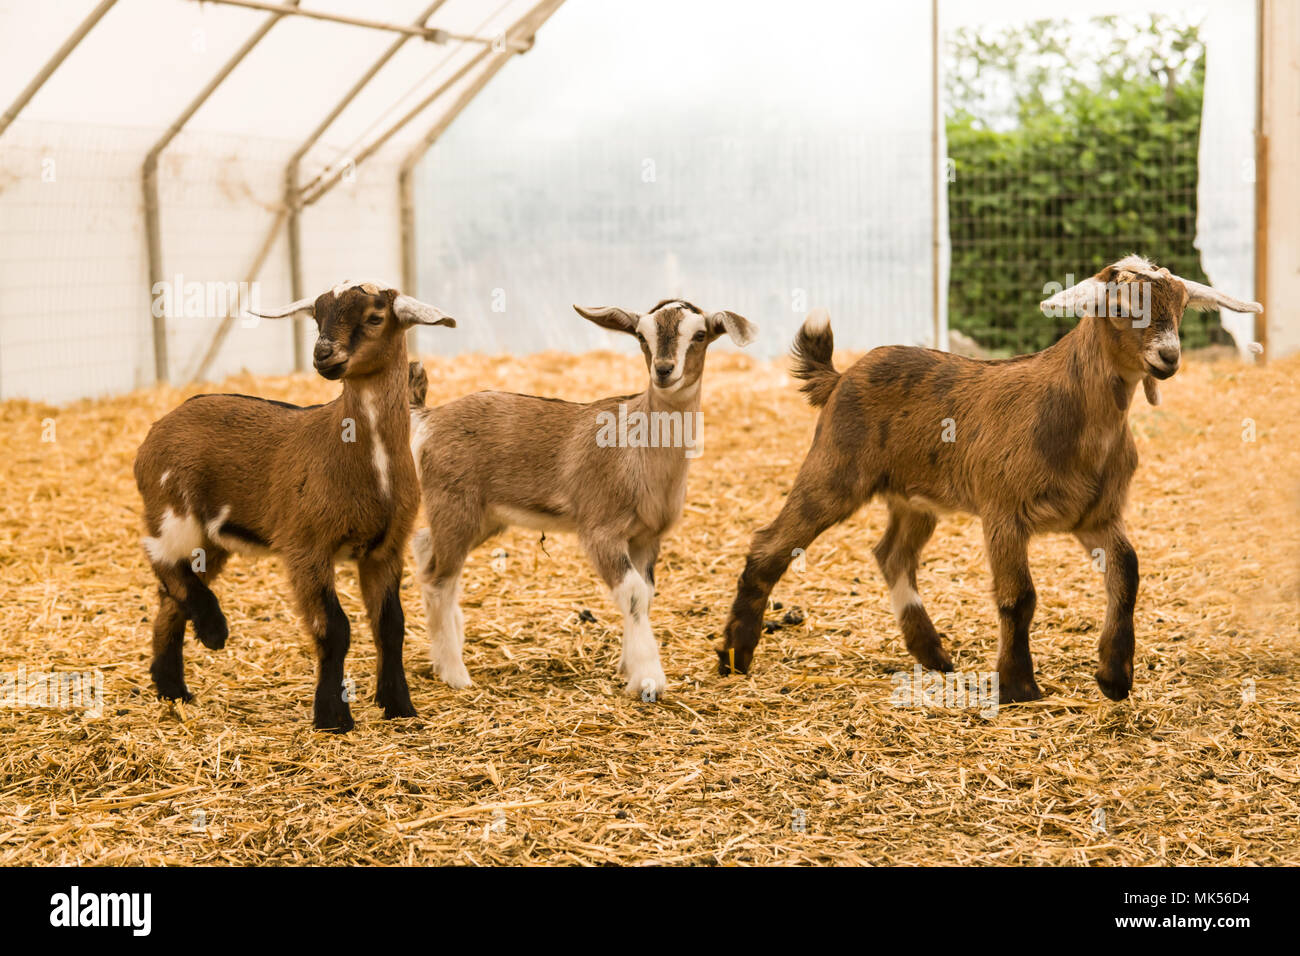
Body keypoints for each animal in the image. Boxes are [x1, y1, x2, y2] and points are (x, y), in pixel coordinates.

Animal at [133, 281, 455, 732]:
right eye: (317, 318)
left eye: (375, 317)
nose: (323, 354)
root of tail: (157, 427)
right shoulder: (307, 545)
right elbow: (333, 629)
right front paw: (333, 717)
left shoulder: (385, 549)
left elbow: (391, 625)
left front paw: (398, 706)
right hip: (172, 511)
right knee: (160, 559)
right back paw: (213, 630)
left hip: (210, 537)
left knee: (170, 593)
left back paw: (173, 688)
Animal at [408, 299, 756, 699]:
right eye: (642, 336)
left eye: (699, 335)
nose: (664, 370)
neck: (639, 448)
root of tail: (428, 418)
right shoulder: (600, 530)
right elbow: (634, 593)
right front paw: (648, 679)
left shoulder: (645, 538)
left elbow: (646, 594)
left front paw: (628, 667)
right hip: (455, 505)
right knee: (438, 579)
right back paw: (455, 674)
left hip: (480, 517)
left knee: (426, 549)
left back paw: (444, 655)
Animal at [718, 256, 1260, 703]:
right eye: (1120, 307)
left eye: (1183, 305)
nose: (1168, 357)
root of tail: (840, 377)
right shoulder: (1003, 510)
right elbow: (1019, 597)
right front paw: (1019, 686)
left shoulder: (1095, 517)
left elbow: (1127, 573)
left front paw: (1115, 677)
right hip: (835, 468)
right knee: (770, 543)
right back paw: (734, 656)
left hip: (914, 498)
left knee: (892, 554)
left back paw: (933, 655)